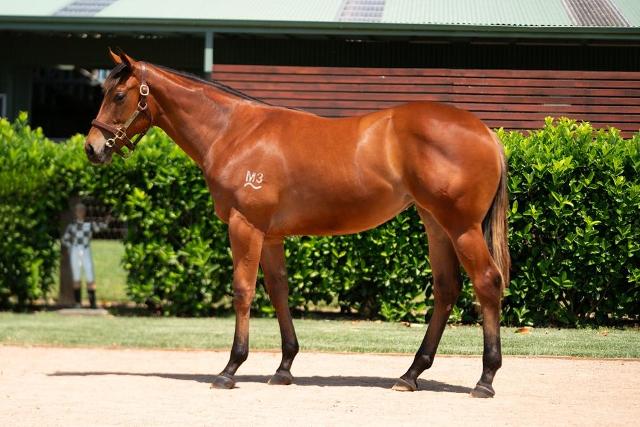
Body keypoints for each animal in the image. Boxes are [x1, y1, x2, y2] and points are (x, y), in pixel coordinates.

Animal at [85, 49, 510, 398]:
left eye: (118, 96)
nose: (92, 148)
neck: (233, 131)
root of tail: (487, 133)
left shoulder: (245, 226)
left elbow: (242, 292)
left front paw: (230, 368)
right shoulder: (271, 236)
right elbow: (278, 292)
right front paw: (285, 366)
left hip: (462, 228)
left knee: (487, 283)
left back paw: (485, 379)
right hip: (436, 225)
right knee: (446, 289)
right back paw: (410, 374)